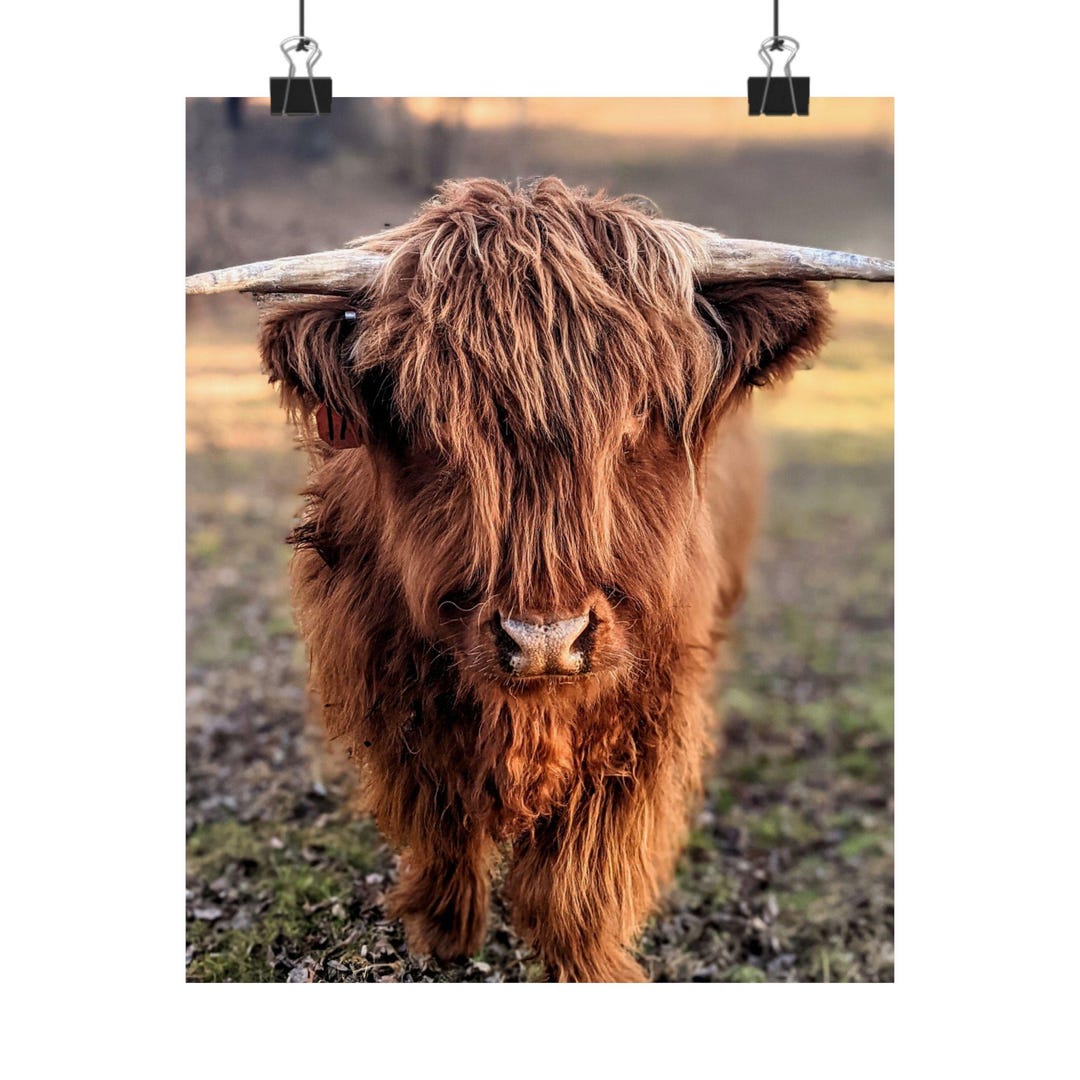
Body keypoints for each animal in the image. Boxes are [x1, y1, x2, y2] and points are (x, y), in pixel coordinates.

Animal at [186, 177, 893, 982]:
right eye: (434, 428)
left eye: (638, 419)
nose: (545, 641)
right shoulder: (392, 688)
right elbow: (441, 825)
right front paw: (443, 932)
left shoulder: (650, 707)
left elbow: (576, 877)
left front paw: (589, 967)